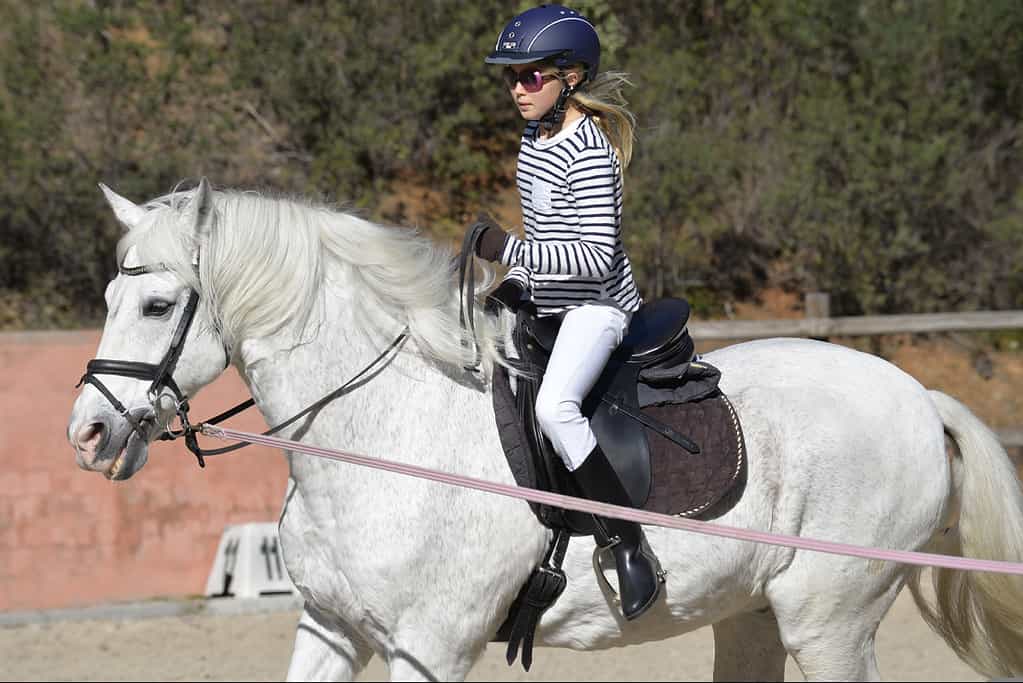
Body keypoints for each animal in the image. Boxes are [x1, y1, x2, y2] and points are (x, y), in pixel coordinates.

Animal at [68, 179, 1023, 681]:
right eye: (111, 296)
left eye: (157, 305)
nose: (87, 432)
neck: (382, 429)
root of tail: (915, 392)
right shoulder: (330, 630)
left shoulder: (429, 645)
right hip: (752, 614)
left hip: (828, 620)